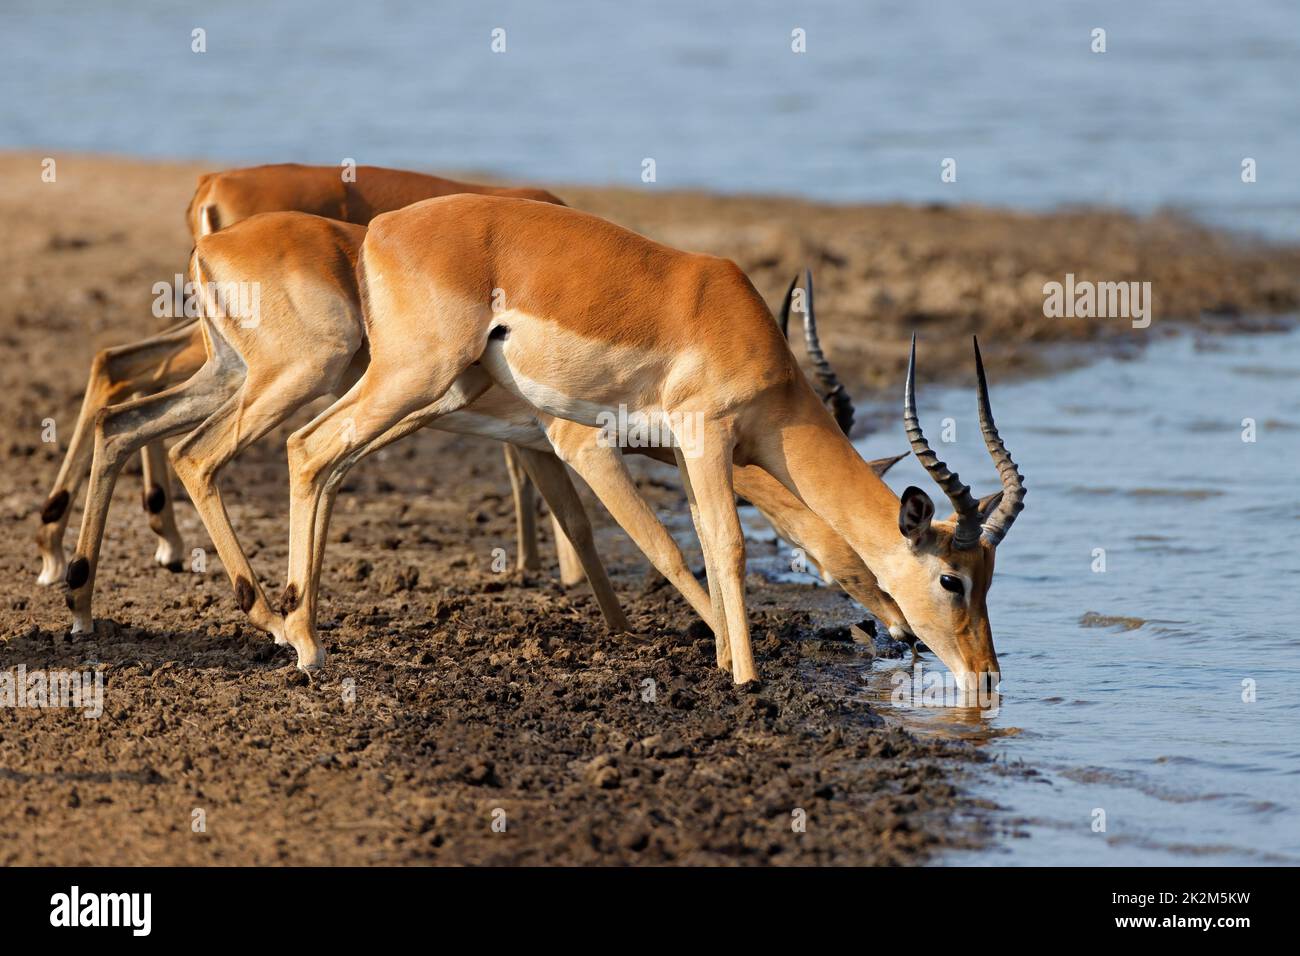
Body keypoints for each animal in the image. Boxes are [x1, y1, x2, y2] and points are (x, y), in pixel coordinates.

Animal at [36, 163, 567, 590]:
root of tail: (215, 183)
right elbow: (525, 460)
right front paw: (540, 568)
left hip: (226, 355)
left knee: (120, 373)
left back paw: (82, 556)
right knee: (145, 392)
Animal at [60, 211, 912, 654]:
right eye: (864, 558)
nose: (897, 632)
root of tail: (211, 241)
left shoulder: (541, 447)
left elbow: (585, 532)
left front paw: (619, 629)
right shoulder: (571, 440)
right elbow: (657, 539)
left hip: (244, 376)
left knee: (130, 419)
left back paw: (85, 602)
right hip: (313, 380)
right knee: (209, 451)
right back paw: (281, 627)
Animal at [275, 195, 1025, 687]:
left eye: (991, 579)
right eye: (952, 579)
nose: (985, 673)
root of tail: (380, 229)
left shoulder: (689, 454)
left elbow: (699, 538)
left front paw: (722, 659)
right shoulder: (701, 437)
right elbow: (717, 545)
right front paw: (744, 679)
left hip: (437, 391)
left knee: (324, 458)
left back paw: (296, 628)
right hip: (415, 378)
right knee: (310, 447)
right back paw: (307, 647)